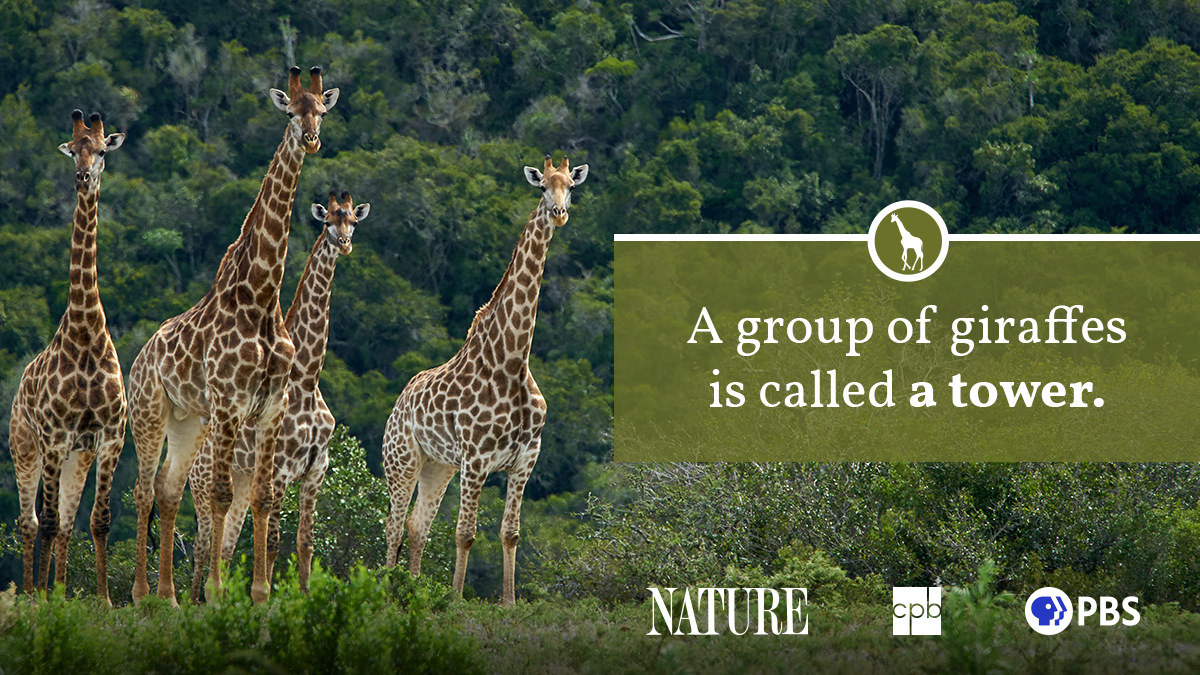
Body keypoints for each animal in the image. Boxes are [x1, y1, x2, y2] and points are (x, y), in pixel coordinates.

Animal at [127, 66, 338, 605]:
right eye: (291, 112)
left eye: (321, 111)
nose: (312, 139)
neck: (260, 296)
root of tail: (139, 357)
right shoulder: (229, 402)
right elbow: (223, 498)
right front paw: (219, 595)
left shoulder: (270, 407)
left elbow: (261, 500)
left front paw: (260, 595)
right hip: (150, 413)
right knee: (143, 491)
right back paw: (140, 594)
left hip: (188, 422)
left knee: (168, 490)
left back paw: (169, 597)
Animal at [189, 190, 369, 599]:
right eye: (328, 220)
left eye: (353, 220)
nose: (344, 243)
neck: (307, 379)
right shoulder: (283, 469)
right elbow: (272, 542)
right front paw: (268, 597)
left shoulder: (316, 469)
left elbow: (305, 543)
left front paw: (304, 597)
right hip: (202, 486)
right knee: (201, 544)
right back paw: (191, 600)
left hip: (241, 483)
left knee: (225, 546)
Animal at [381, 155, 588, 607]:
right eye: (542, 187)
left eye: (570, 186)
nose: (559, 213)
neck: (511, 362)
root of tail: (398, 404)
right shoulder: (475, 458)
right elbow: (465, 533)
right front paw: (457, 600)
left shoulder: (526, 458)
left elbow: (510, 533)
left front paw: (508, 603)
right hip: (402, 460)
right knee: (393, 526)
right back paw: (387, 591)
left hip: (437, 466)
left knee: (416, 526)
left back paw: (413, 590)